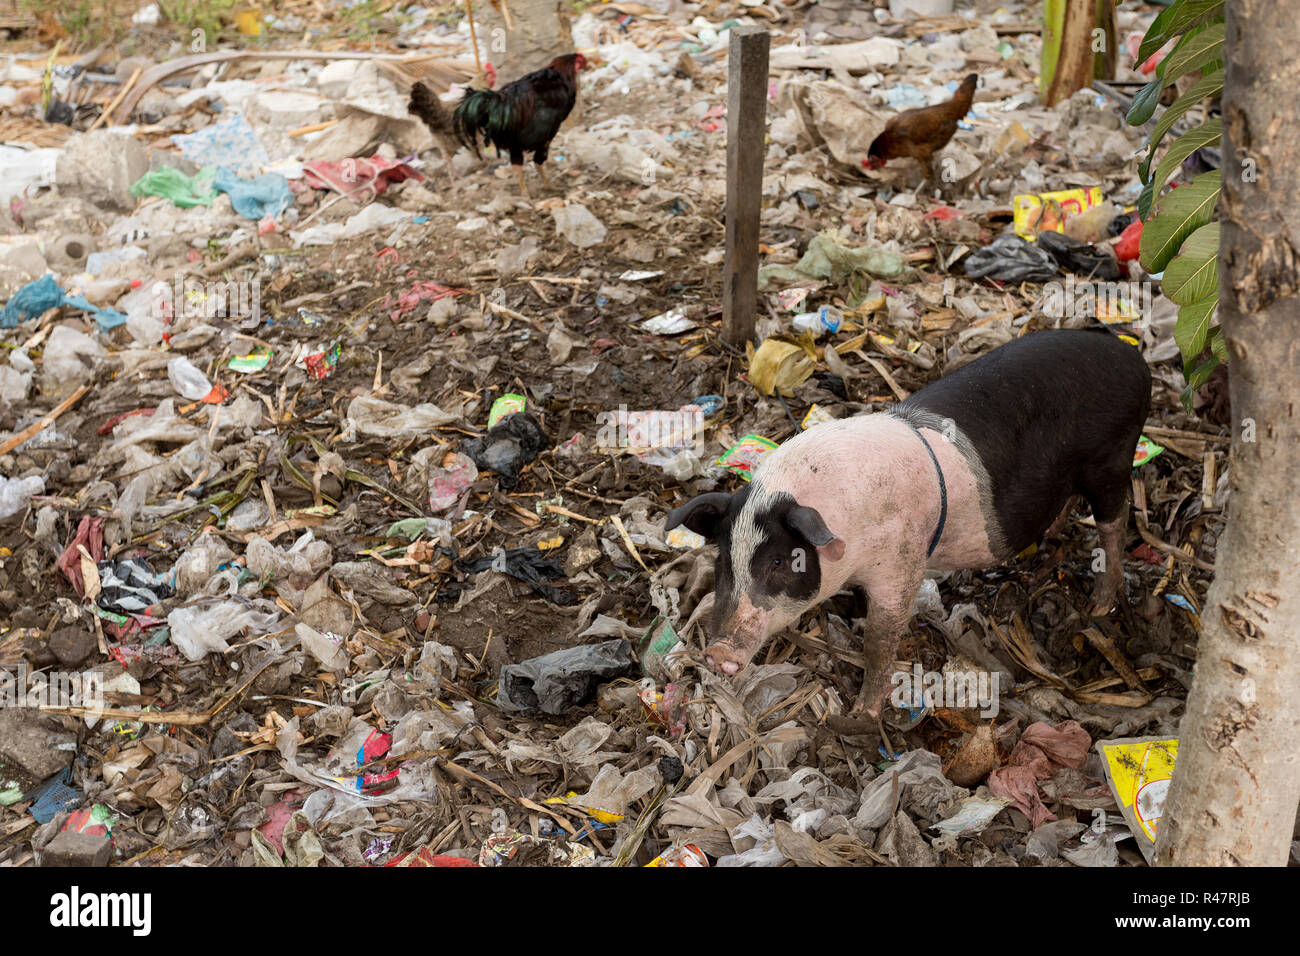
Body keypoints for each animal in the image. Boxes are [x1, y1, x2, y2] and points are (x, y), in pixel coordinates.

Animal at [665, 328, 1151, 715]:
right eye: (725, 561)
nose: (717, 653)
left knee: (1115, 520)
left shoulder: (901, 563)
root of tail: (1130, 355)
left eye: (780, 563)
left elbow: (881, 641)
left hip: (1111, 458)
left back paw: (1099, 606)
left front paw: (862, 713)